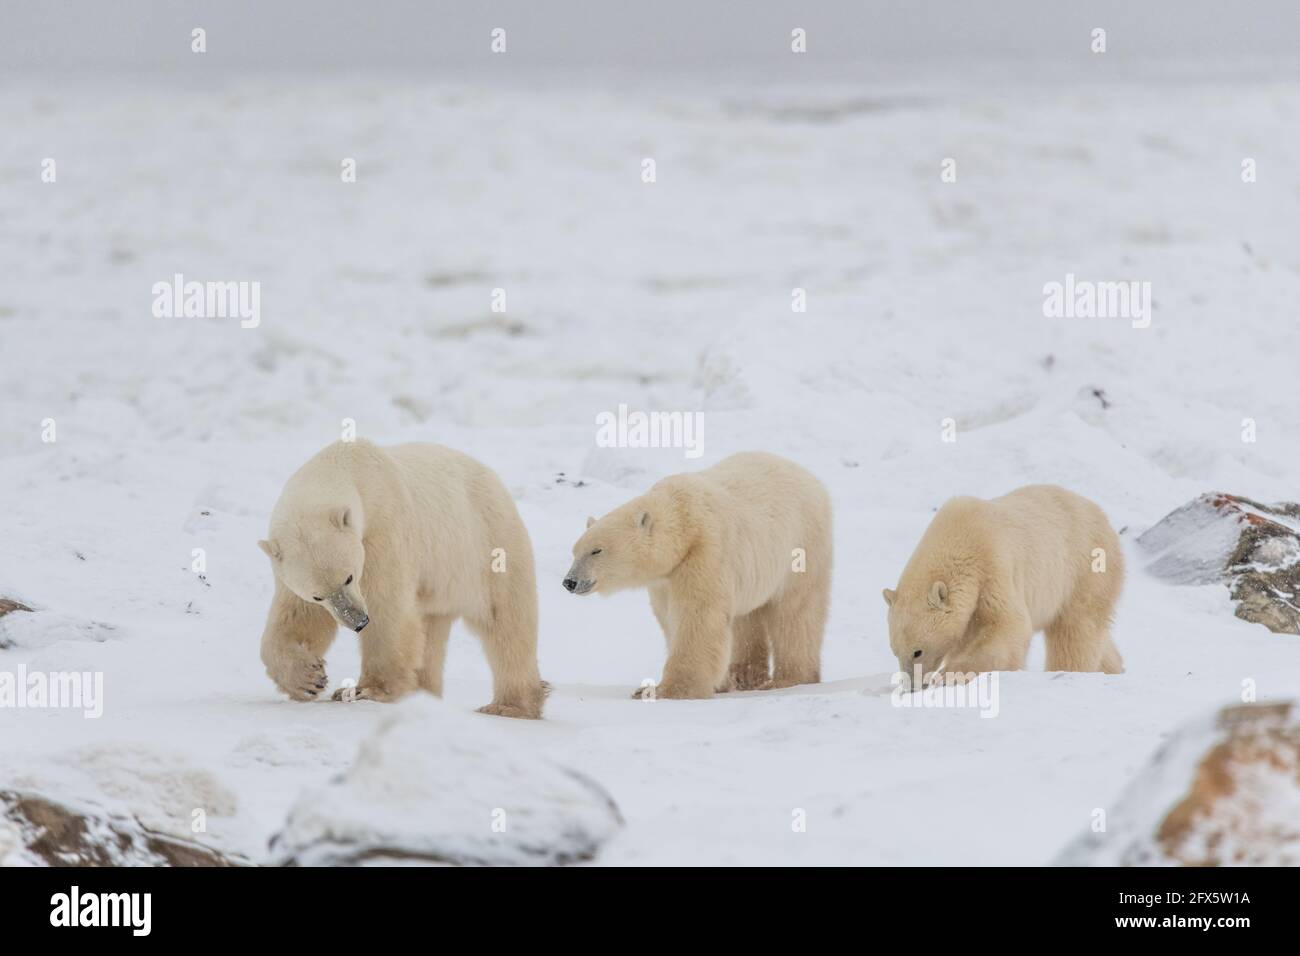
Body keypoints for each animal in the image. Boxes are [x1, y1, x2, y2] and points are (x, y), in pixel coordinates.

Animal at [257, 439, 546, 719]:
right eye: (317, 595)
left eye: (349, 577)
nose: (358, 622)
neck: (350, 466)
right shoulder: (289, 571)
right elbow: (301, 617)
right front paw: (307, 678)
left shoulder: (384, 529)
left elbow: (387, 607)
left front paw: (367, 690)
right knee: (430, 632)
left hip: (487, 547)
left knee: (506, 624)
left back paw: (509, 706)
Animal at [563, 451, 832, 699]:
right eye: (574, 551)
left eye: (596, 550)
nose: (569, 581)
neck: (684, 519)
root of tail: (810, 477)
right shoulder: (665, 579)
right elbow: (669, 618)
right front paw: (716, 683)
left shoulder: (705, 551)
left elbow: (697, 616)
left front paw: (668, 690)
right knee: (745, 619)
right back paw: (742, 676)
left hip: (802, 546)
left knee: (796, 612)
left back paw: (790, 679)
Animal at [882, 483, 1124, 687]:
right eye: (895, 651)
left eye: (918, 651)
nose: (911, 687)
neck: (960, 538)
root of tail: (1104, 518)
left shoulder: (993, 567)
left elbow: (1006, 626)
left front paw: (946, 675)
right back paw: (1115, 668)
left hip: (1083, 570)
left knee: (1076, 629)